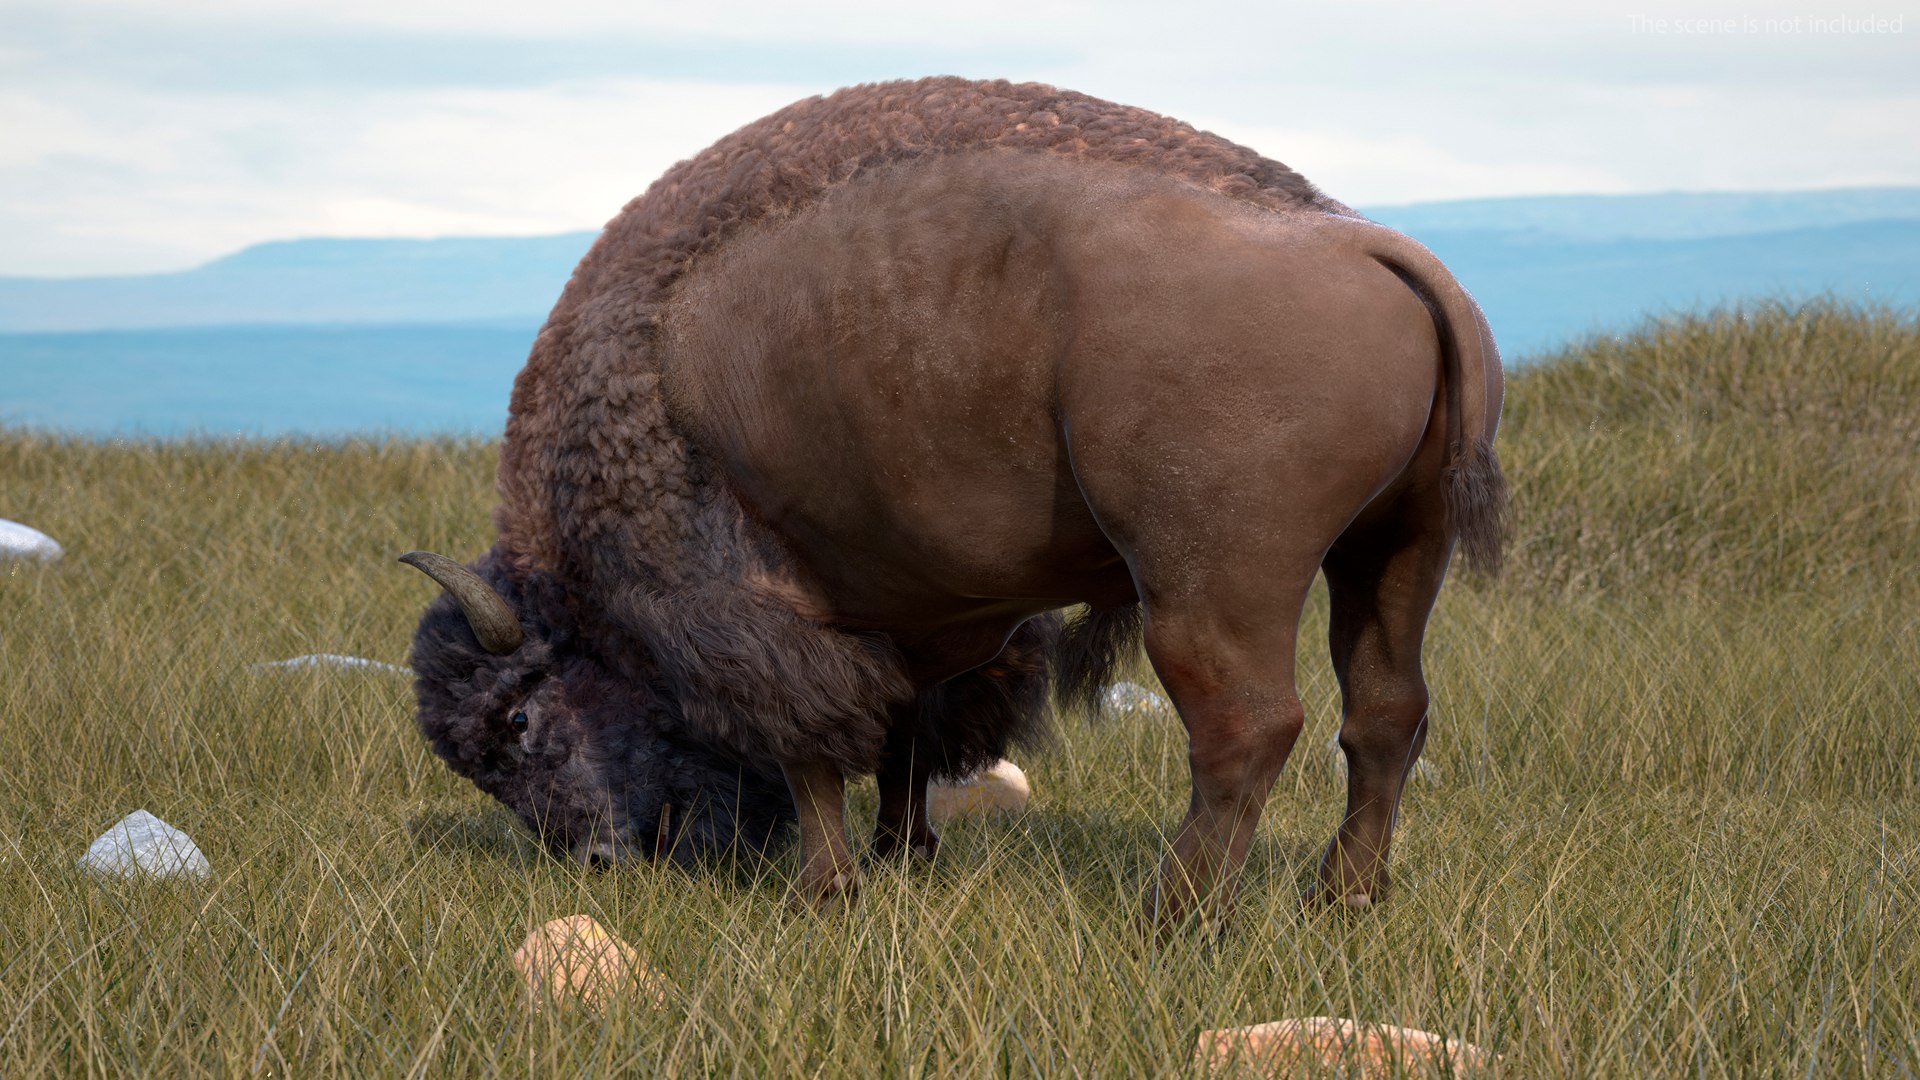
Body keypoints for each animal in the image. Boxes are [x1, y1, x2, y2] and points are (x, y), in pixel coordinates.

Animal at [400, 77, 1506, 928]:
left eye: (517, 720)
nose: (593, 859)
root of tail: (1367, 249)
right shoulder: (923, 615)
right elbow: (905, 729)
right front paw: (902, 850)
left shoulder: (755, 624)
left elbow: (811, 747)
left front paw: (824, 890)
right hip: (1397, 550)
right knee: (1385, 711)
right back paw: (1343, 896)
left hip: (1212, 583)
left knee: (1248, 727)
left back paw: (1175, 914)